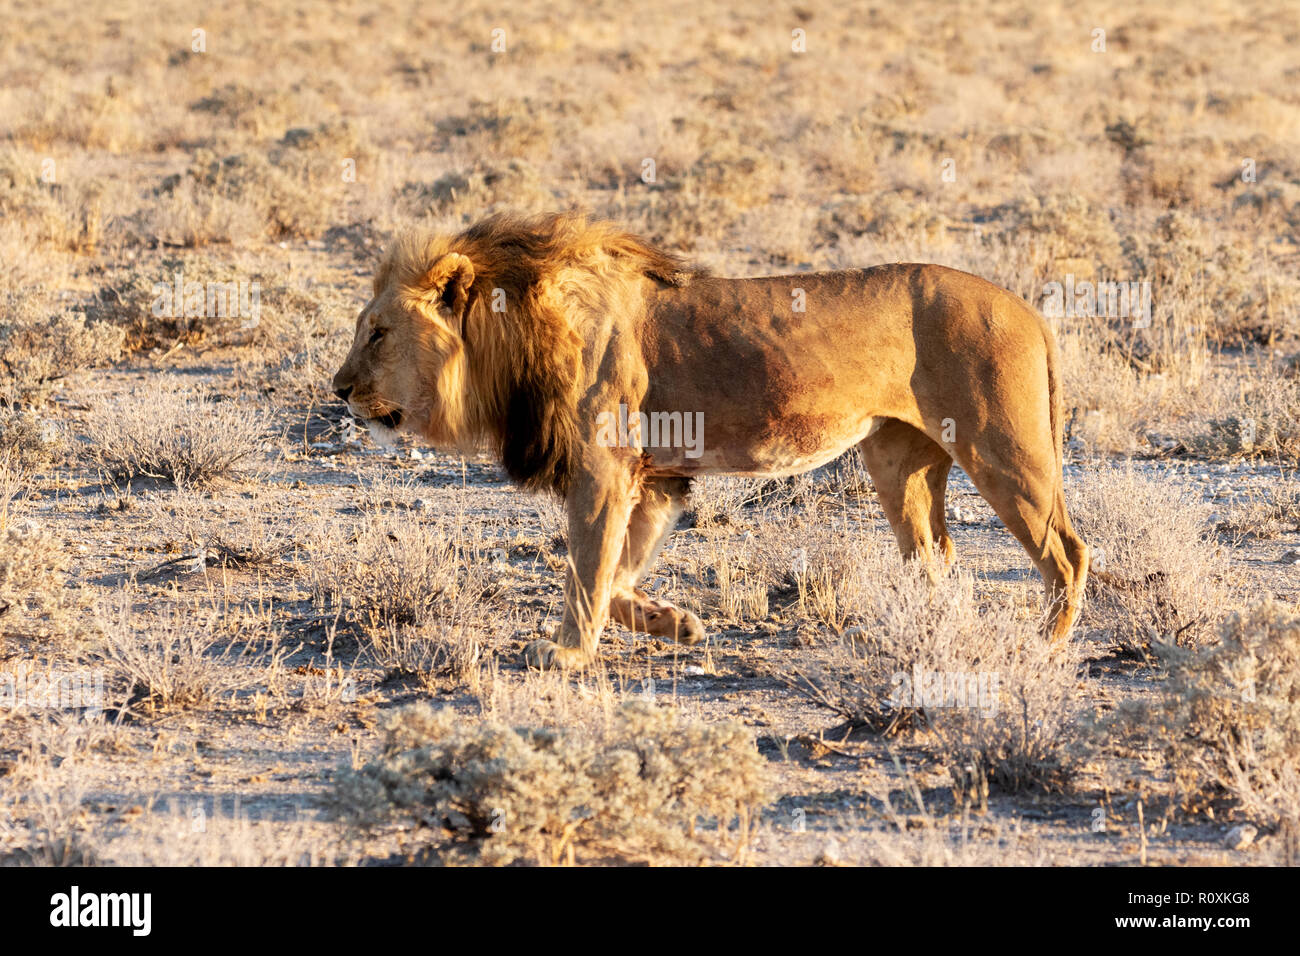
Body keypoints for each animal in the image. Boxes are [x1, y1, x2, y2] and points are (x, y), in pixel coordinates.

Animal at [333, 212, 1089, 668]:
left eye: (378, 333)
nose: (338, 389)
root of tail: (1026, 309)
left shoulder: (603, 470)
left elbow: (585, 569)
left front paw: (568, 653)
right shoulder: (653, 481)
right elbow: (617, 573)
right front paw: (675, 623)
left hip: (1003, 449)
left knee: (1067, 551)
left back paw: (1043, 646)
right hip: (897, 459)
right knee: (936, 559)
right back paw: (910, 633)